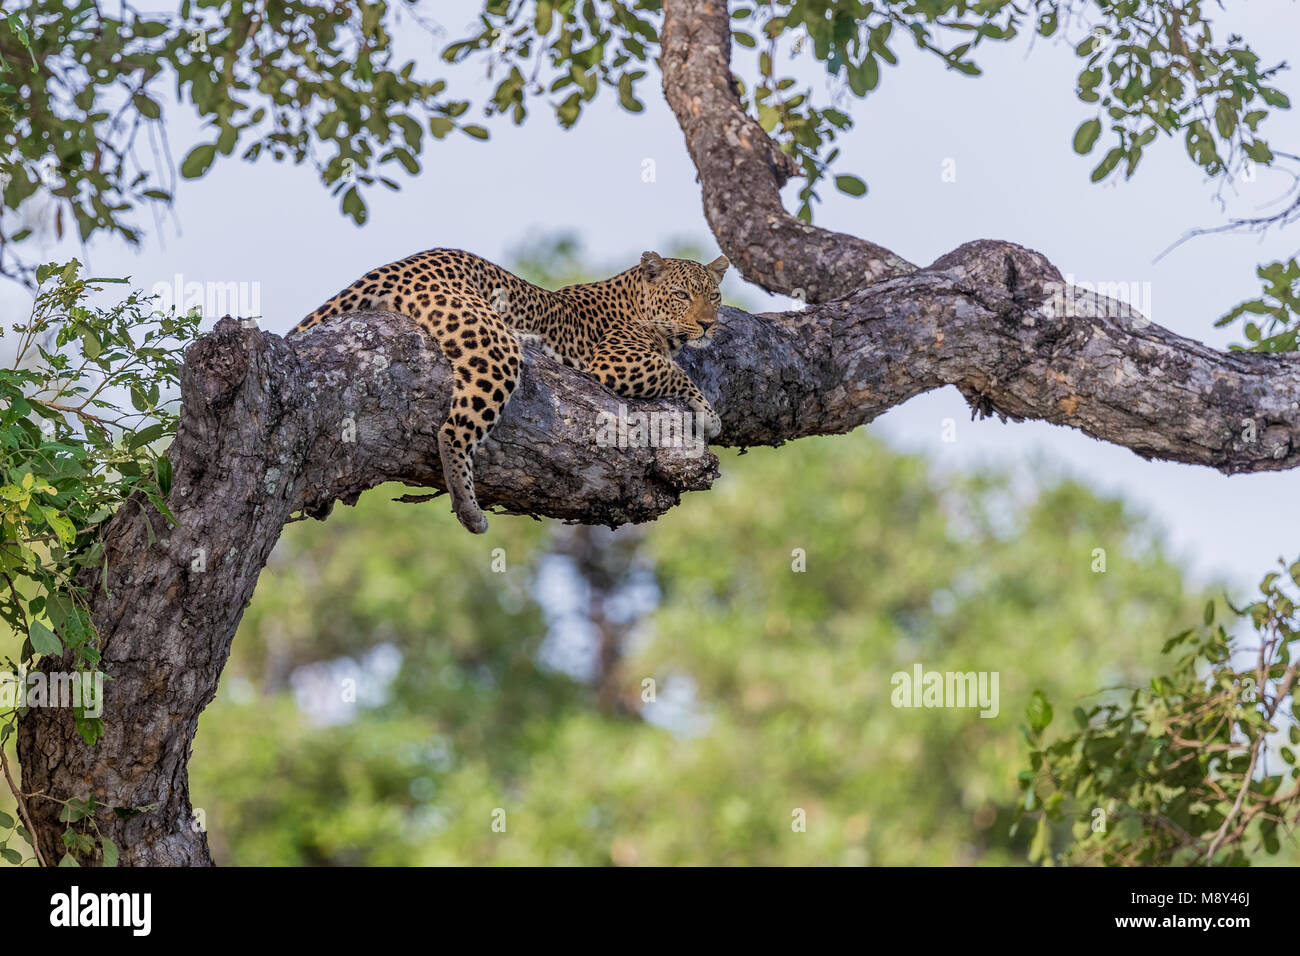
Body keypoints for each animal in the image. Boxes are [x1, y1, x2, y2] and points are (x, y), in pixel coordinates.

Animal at [288, 248, 729, 534]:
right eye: (682, 295)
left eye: (714, 295)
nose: (708, 323)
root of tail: (401, 264)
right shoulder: (616, 361)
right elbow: (676, 372)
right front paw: (710, 416)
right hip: (492, 347)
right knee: (451, 431)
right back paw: (469, 510)